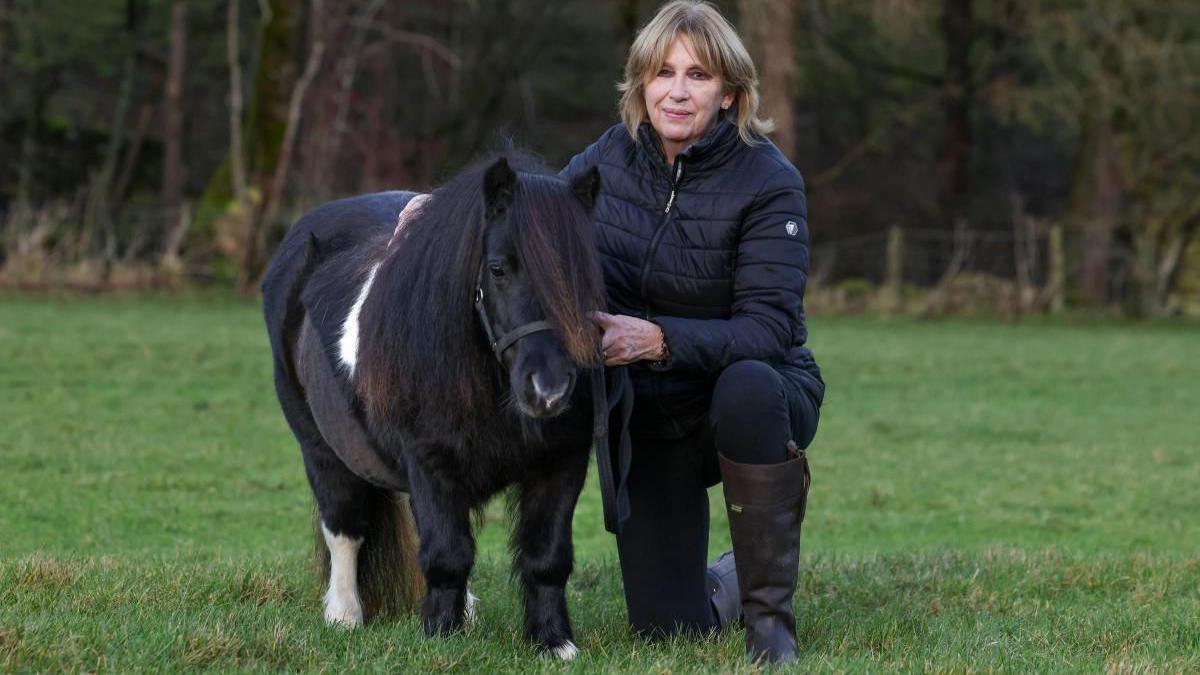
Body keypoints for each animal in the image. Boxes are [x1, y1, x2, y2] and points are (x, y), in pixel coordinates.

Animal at [261, 156, 606, 660]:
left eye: (585, 271)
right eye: (498, 269)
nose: (549, 388)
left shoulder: (561, 463)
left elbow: (547, 556)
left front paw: (553, 642)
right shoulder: (428, 462)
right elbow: (446, 554)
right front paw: (441, 636)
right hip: (321, 449)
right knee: (344, 526)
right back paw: (344, 615)